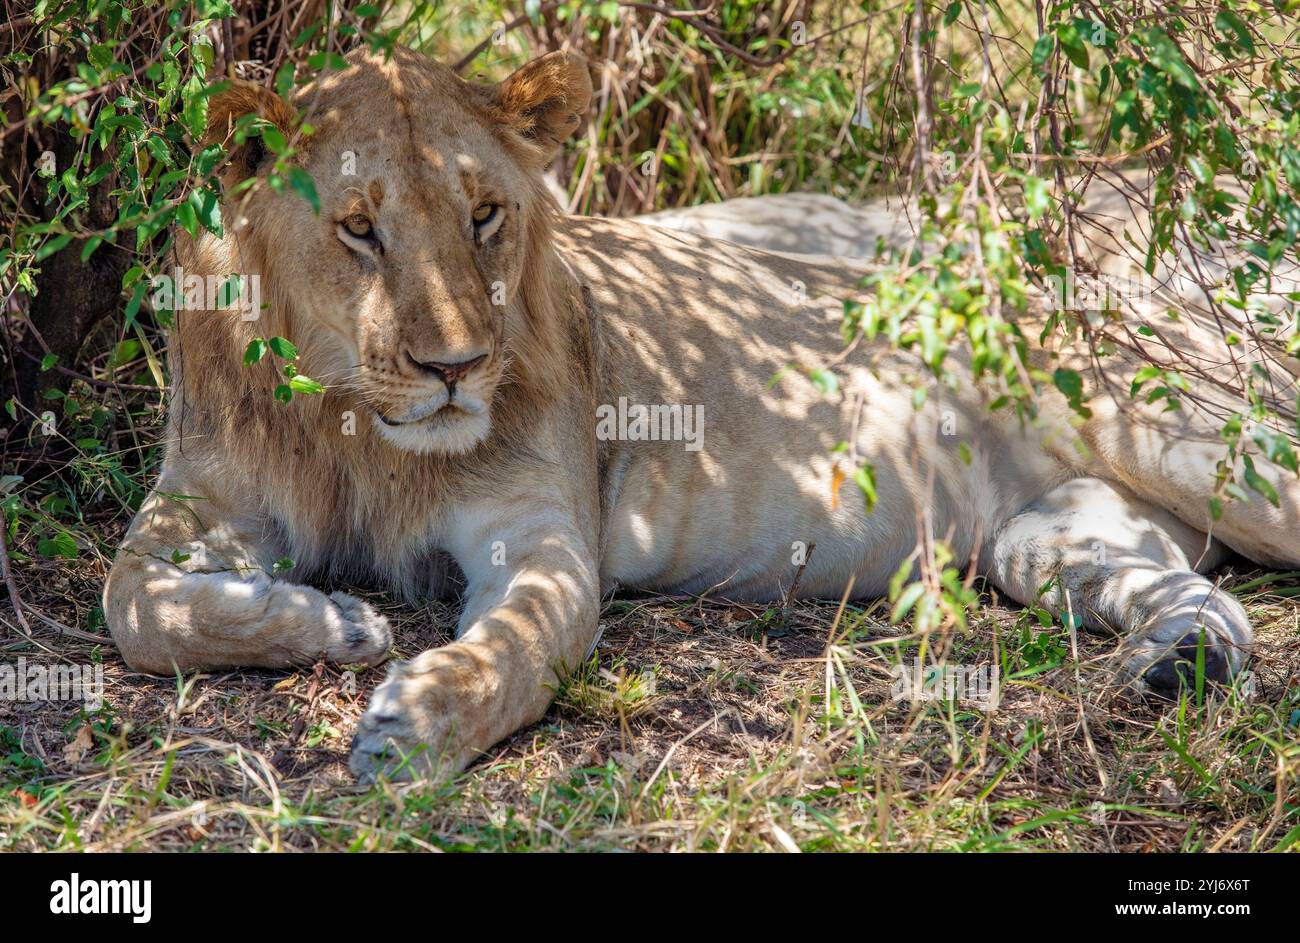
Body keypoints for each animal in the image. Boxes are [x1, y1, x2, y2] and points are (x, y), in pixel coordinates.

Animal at [103, 46, 1300, 781]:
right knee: (1191, 588)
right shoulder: (199, 494)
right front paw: (330, 623)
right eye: (358, 228)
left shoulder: (543, 531)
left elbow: (522, 646)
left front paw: (419, 721)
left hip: (1197, 433)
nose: (457, 368)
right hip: (1042, 531)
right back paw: (1180, 661)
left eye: (485, 214)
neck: (356, 431)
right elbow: (138, 606)